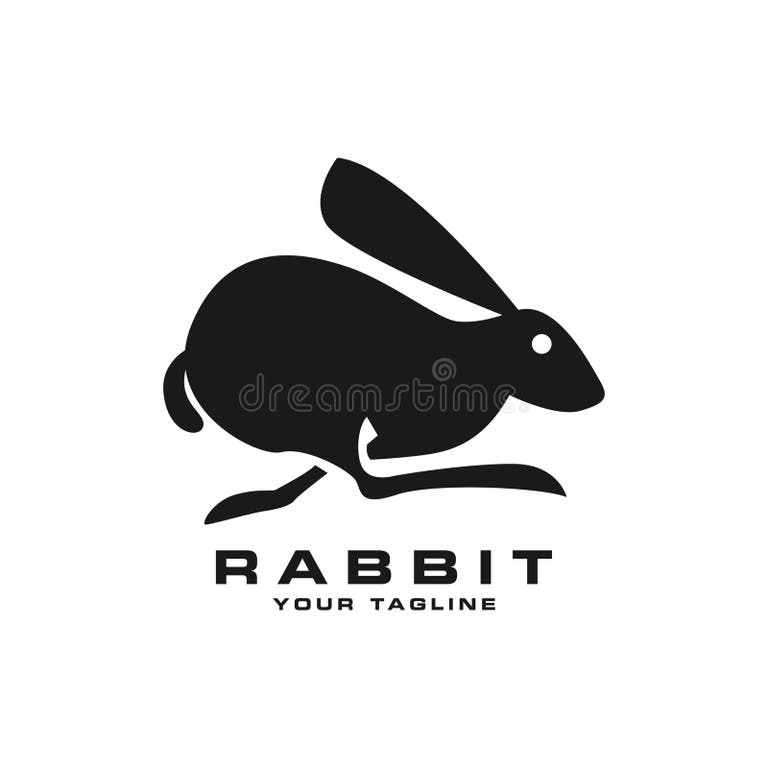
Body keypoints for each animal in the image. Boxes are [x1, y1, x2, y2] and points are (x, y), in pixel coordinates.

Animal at [164, 158, 604, 523]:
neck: (481, 353)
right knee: (368, 483)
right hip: (322, 415)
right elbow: (381, 454)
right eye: (542, 345)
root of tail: (191, 352)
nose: (596, 396)